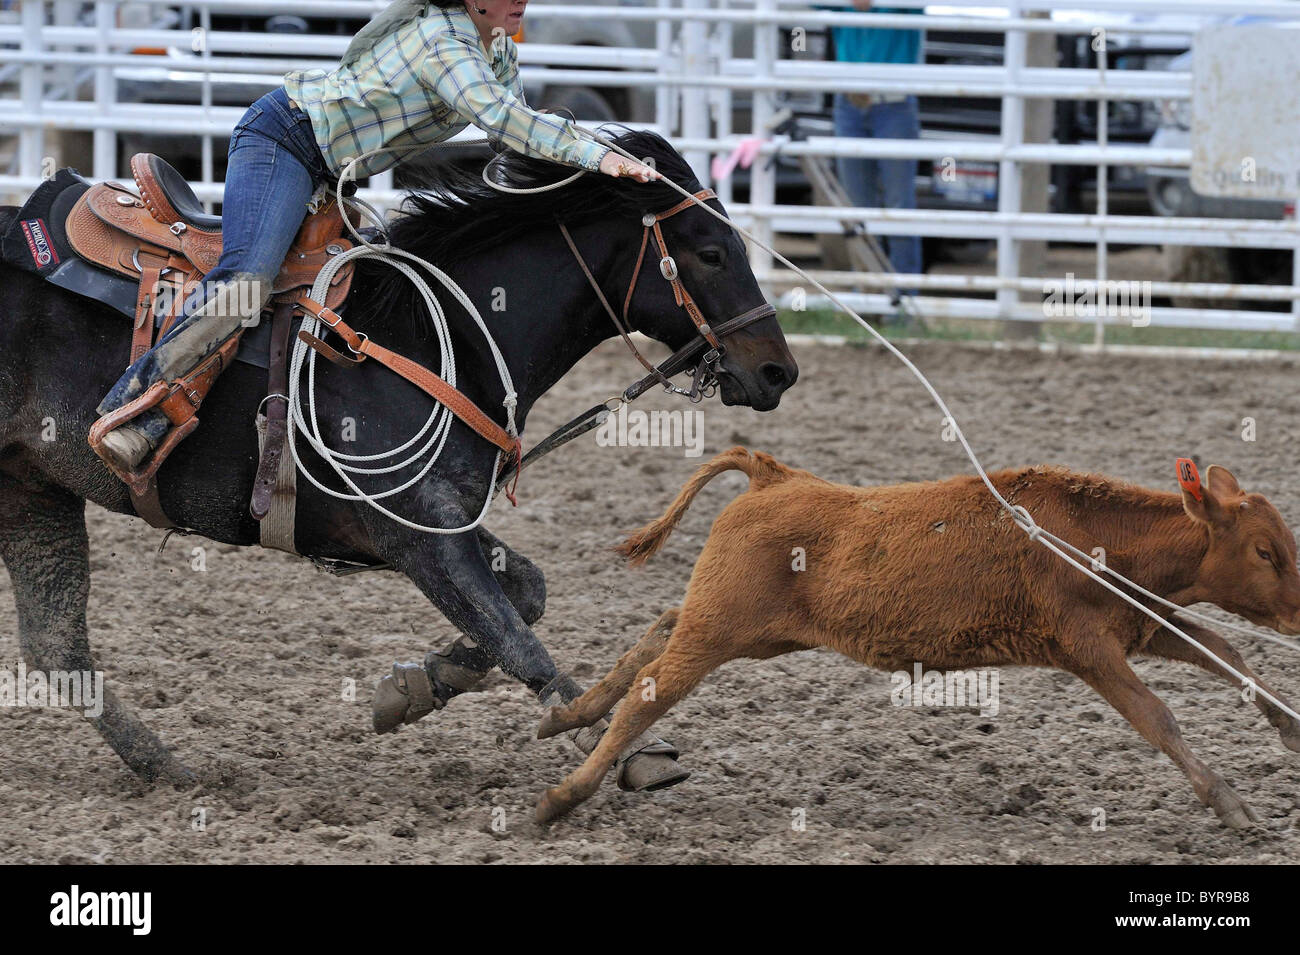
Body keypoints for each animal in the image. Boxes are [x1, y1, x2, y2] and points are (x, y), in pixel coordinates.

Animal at [534, 446, 1300, 827]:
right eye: (1265, 551)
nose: (1298, 610)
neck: (1090, 537)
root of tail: (773, 476)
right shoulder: (1088, 646)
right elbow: (1157, 716)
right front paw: (1230, 803)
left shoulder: (1142, 623)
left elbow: (1227, 653)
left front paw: (1289, 725)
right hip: (724, 625)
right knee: (651, 688)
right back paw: (563, 796)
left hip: (745, 626)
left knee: (661, 625)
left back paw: (566, 716)